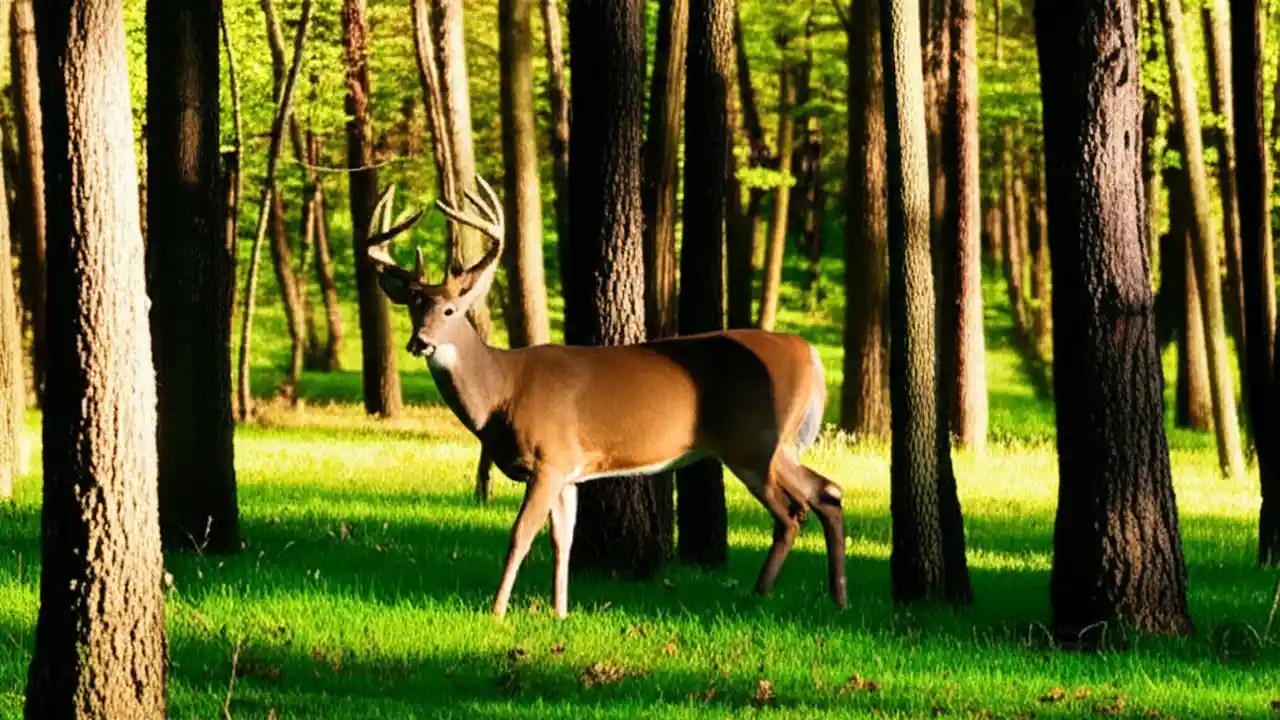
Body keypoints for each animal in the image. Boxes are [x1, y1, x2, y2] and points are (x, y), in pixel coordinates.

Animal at [366, 177, 848, 619]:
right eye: (413, 307)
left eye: (450, 310)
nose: (420, 342)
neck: (500, 392)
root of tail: (810, 353)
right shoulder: (569, 472)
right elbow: (562, 541)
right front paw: (560, 612)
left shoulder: (549, 458)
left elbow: (521, 534)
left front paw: (497, 611)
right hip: (776, 445)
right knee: (827, 492)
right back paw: (835, 597)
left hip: (753, 443)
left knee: (793, 511)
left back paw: (762, 594)